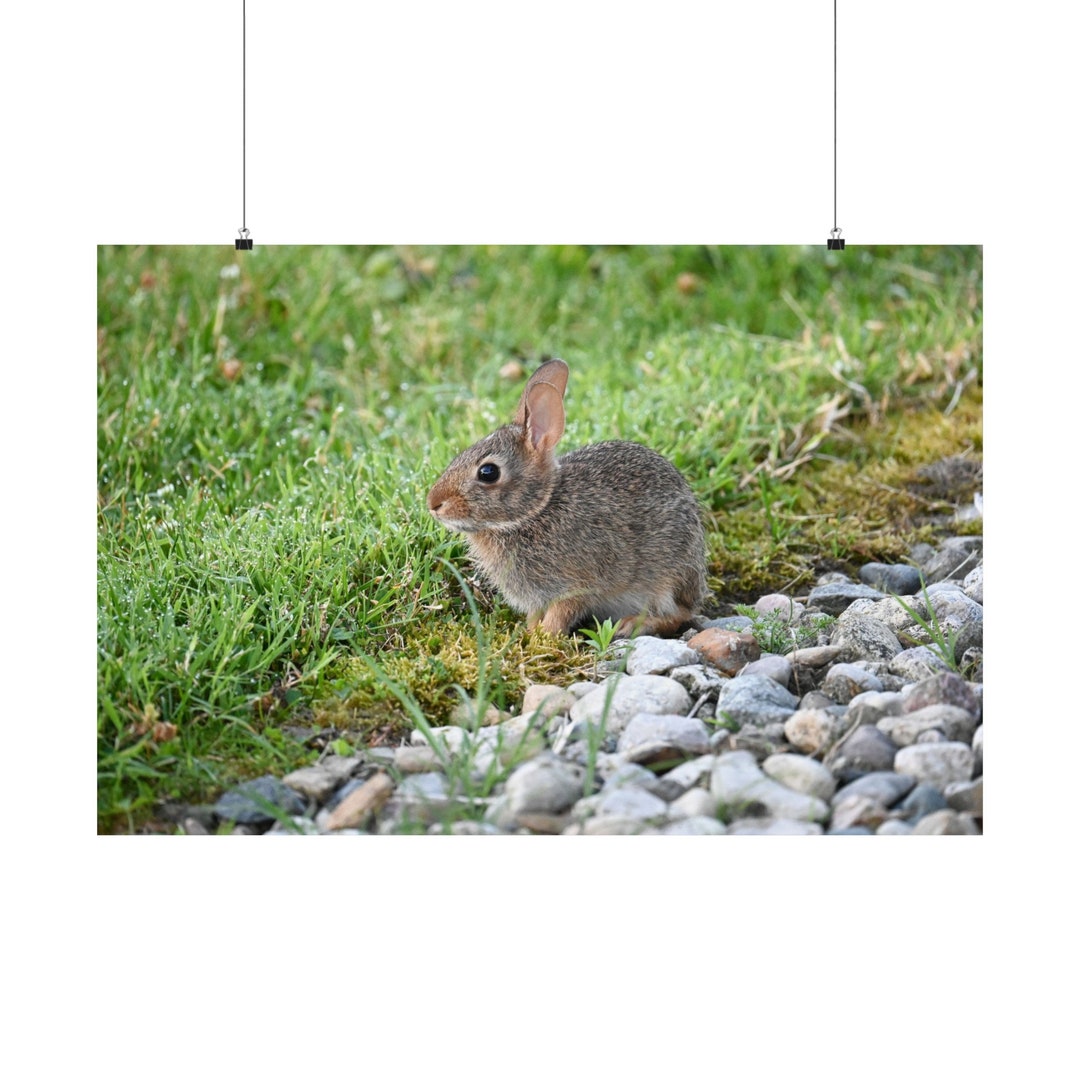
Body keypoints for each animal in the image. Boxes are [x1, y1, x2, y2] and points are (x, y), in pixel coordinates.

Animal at [427, 358, 709, 637]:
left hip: (669, 578)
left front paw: (544, 638)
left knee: (680, 614)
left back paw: (632, 624)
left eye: (488, 472)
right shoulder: (538, 598)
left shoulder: (579, 585)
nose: (433, 504)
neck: (536, 512)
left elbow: (561, 614)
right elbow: (535, 615)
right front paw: (530, 634)